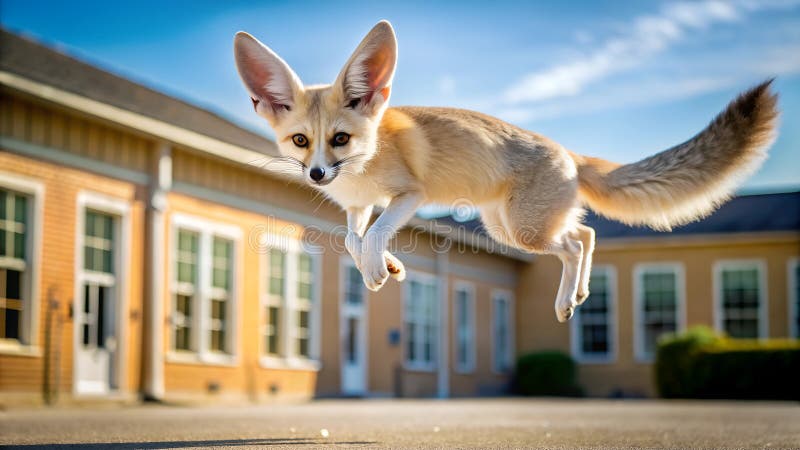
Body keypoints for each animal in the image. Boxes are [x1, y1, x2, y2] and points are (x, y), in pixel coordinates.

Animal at [234, 20, 778, 322]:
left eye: (340, 139)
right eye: (301, 141)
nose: (317, 176)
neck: (364, 164)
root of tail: (569, 152)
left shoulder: (407, 196)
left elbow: (375, 234)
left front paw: (376, 269)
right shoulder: (359, 206)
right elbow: (353, 240)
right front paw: (386, 267)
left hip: (523, 231)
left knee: (576, 242)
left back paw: (566, 302)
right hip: (508, 228)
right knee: (585, 233)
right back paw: (578, 293)